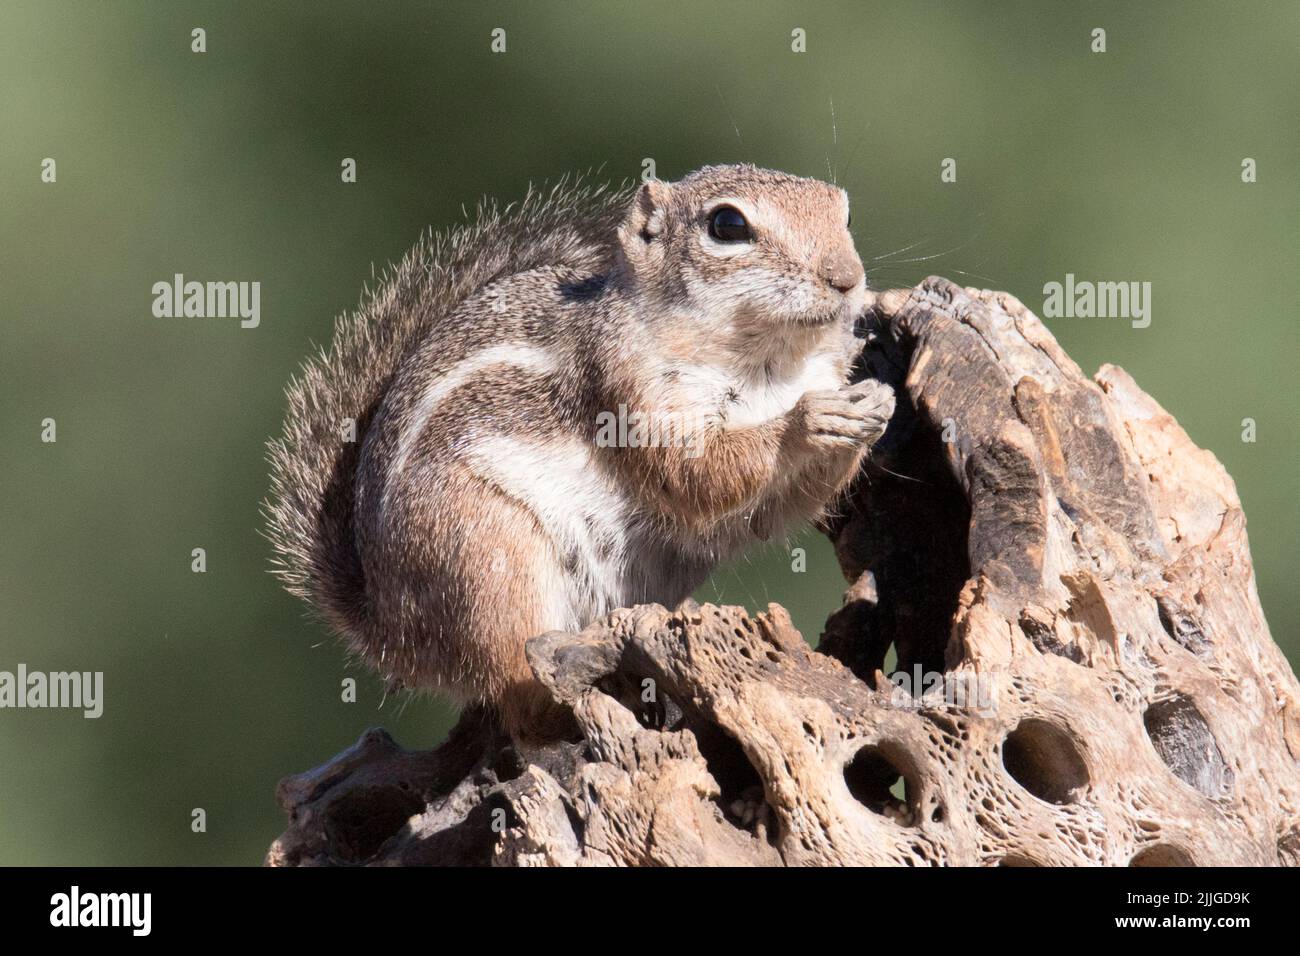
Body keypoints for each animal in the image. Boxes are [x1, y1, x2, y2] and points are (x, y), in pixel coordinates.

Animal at [266, 164, 895, 739]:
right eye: (727, 225)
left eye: (842, 213)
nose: (846, 278)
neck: (772, 364)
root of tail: (391, 630)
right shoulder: (625, 388)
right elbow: (697, 474)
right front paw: (806, 421)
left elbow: (773, 511)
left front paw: (875, 406)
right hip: (486, 553)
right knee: (518, 700)